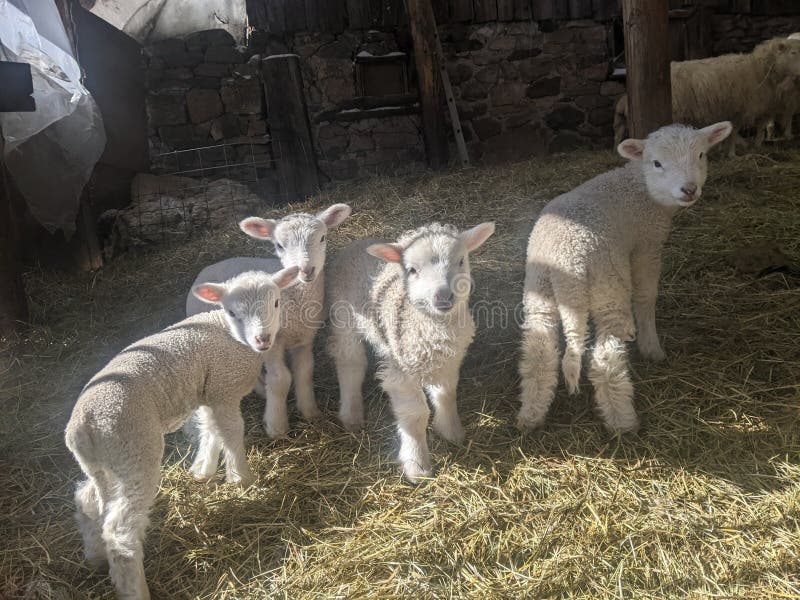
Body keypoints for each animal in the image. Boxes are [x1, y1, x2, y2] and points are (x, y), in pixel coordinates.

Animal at [65, 267, 298, 600]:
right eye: (232, 312)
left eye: (276, 302)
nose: (263, 339)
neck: (229, 334)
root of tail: (82, 428)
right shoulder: (224, 389)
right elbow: (232, 431)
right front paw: (242, 477)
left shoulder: (208, 390)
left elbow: (211, 428)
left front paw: (205, 469)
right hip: (134, 448)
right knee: (120, 531)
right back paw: (135, 588)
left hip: (106, 462)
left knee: (88, 501)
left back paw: (96, 556)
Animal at [186, 204, 352, 438]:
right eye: (279, 245)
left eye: (323, 238)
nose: (306, 270)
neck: (294, 300)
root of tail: (208, 267)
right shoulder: (272, 342)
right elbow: (281, 378)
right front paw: (277, 427)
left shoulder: (304, 338)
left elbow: (304, 371)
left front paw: (310, 412)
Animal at [326, 222, 495, 483]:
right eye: (412, 270)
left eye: (461, 261)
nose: (443, 296)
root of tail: (357, 242)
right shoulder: (401, 373)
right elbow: (415, 414)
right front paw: (417, 466)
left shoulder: (449, 361)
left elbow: (446, 394)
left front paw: (451, 431)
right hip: (344, 317)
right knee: (350, 362)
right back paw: (352, 414)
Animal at [517, 121, 733, 434]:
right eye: (657, 163)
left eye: (701, 155)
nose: (689, 189)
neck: (640, 186)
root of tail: (568, 263)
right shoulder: (647, 245)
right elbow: (646, 295)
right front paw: (652, 348)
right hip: (607, 284)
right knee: (604, 357)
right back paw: (623, 421)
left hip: (539, 288)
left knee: (539, 352)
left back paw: (531, 415)